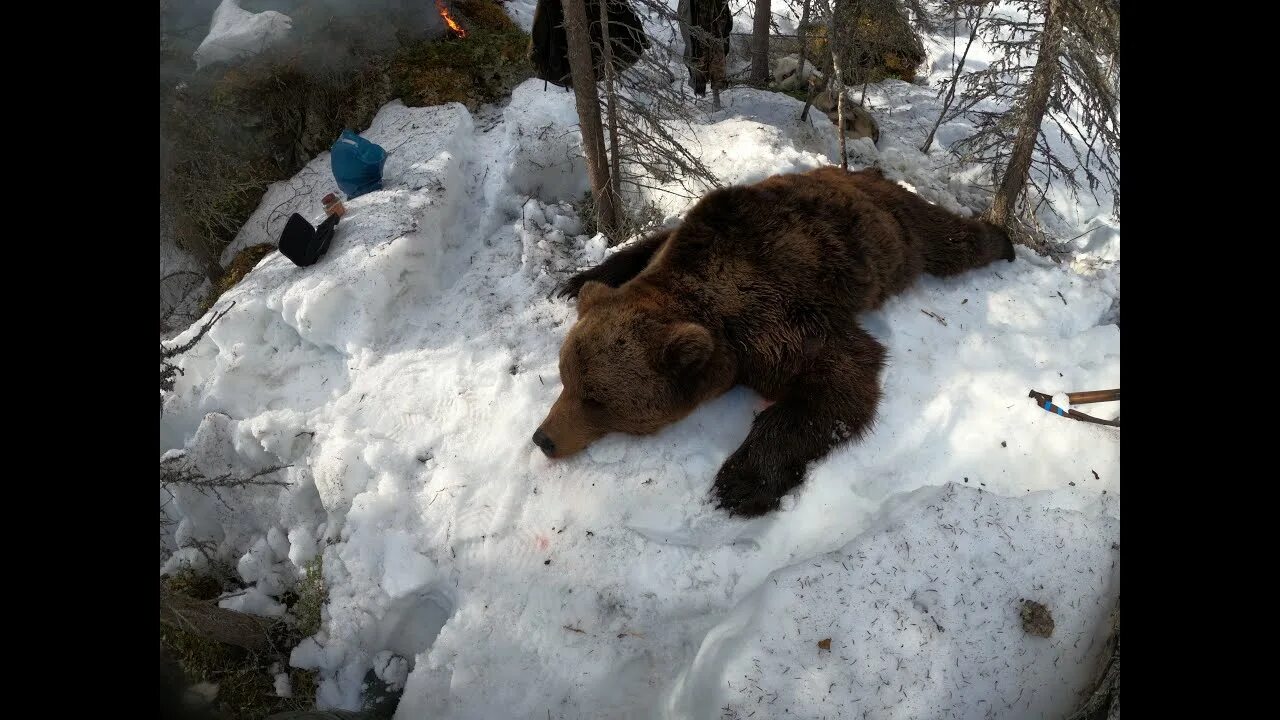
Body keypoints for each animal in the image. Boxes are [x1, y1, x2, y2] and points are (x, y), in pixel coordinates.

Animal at [529, 166, 1008, 515]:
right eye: (565, 378)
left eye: (596, 399)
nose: (542, 438)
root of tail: (869, 172)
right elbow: (645, 246)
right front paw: (578, 279)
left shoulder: (774, 316)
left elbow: (841, 374)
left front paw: (739, 483)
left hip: (901, 231)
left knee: (948, 240)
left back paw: (1002, 239)